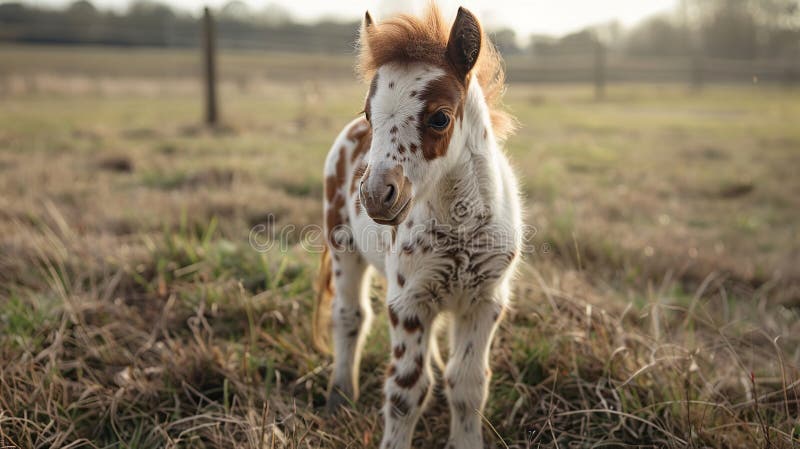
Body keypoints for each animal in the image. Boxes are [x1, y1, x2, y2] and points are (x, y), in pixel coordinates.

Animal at [312, 5, 522, 449]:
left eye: (440, 118)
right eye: (369, 114)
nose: (377, 195)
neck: (461, 228)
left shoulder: (485, 302)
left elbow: (468, 385)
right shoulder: (407, 302)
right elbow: (406, 390)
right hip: (343, 245)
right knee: (349, 315)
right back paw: (339, 395)